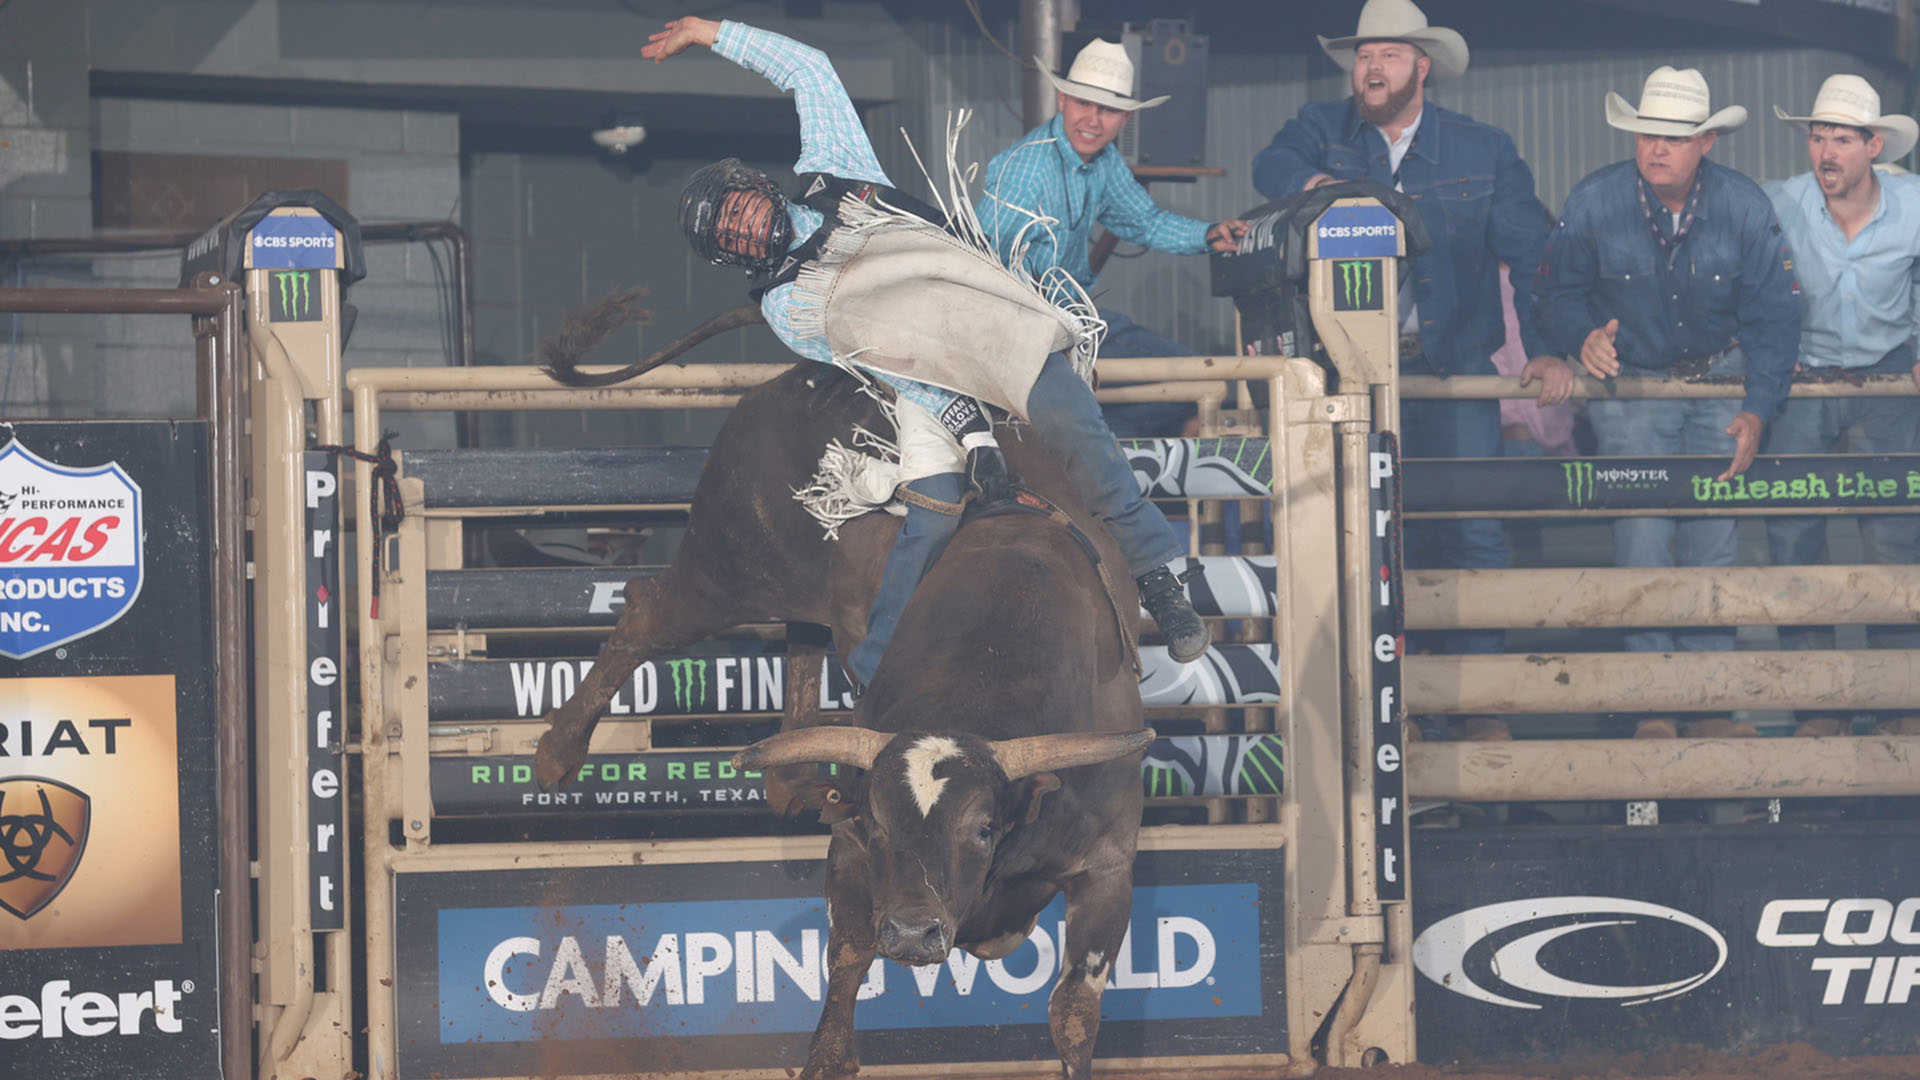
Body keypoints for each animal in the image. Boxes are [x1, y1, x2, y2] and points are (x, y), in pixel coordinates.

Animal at [529, 306, 1154, 1078]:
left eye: (983, 826)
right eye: (881, 823)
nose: (914, 934)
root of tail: (801, 376)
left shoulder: (1108, 865)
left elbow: (1072, 1011)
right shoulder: (853, 850)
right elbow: (848, 965)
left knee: (799, 637)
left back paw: (790, 773)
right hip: (730, 562)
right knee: (648, 613)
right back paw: (557, 753)